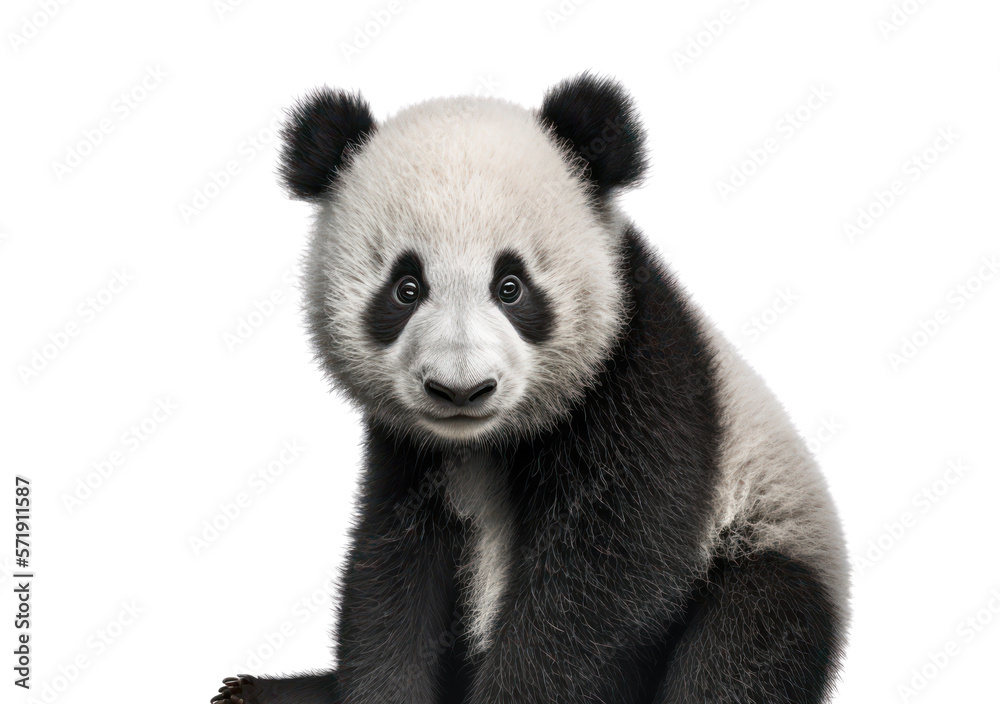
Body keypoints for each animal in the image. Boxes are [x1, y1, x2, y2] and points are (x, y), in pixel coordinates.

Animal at [211, 74, 848, 704]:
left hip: (768, 537)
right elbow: (393, 572)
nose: (461, 391)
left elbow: (601, 581)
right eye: (405, 288)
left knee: (742, 643)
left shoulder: (641, 385)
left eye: (511, 286)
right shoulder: (408, 451)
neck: (487, 443)